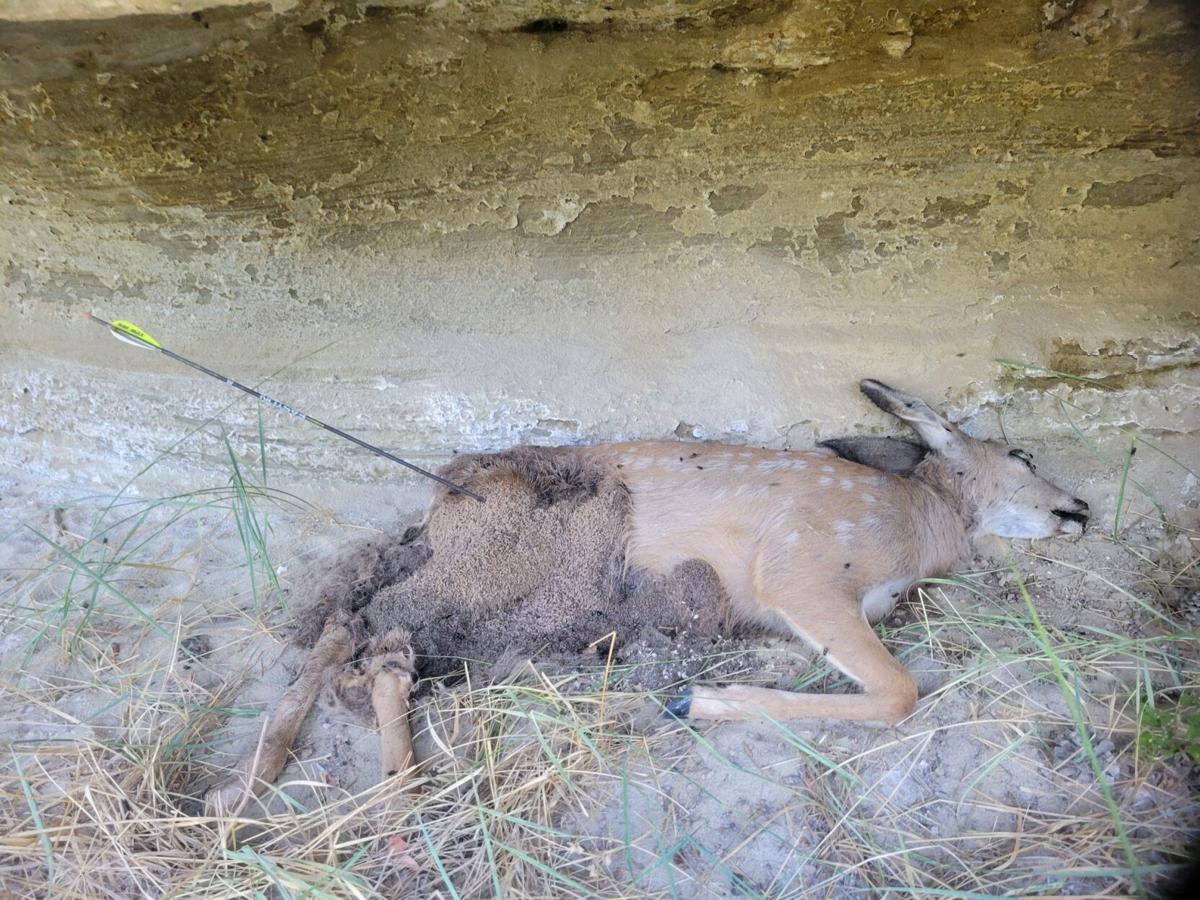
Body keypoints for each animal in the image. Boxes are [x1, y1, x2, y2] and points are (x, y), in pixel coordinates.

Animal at [205, 379, 1089, 814]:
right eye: (1022, 454)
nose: (1078, 506)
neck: (921, 521)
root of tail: (440, 498)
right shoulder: (801, 565)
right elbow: (902, 692)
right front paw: (691, 700)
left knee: (347, 625)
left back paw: (249, 785)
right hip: (508, 568)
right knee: (375, 631)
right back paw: (390, 790)